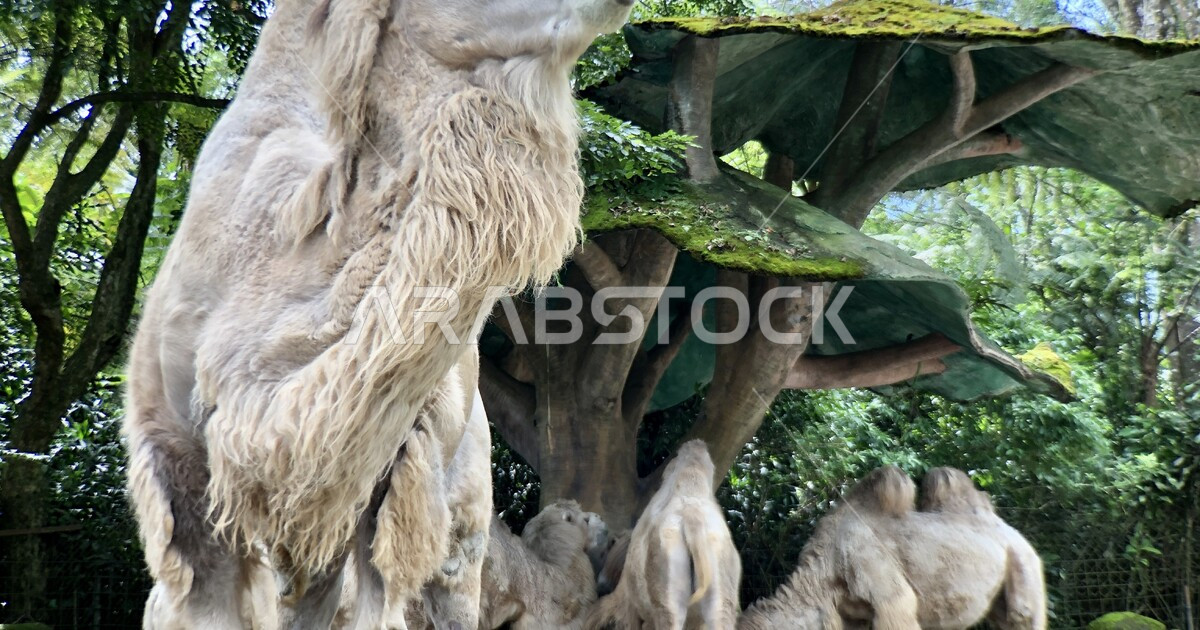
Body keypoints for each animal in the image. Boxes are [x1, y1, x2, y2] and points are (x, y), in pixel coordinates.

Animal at [586, 440, 742, 630]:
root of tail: (693, 521)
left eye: (611, 545)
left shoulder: (627, 604)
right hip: (722, 592)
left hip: (666, 591)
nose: (602, 582)